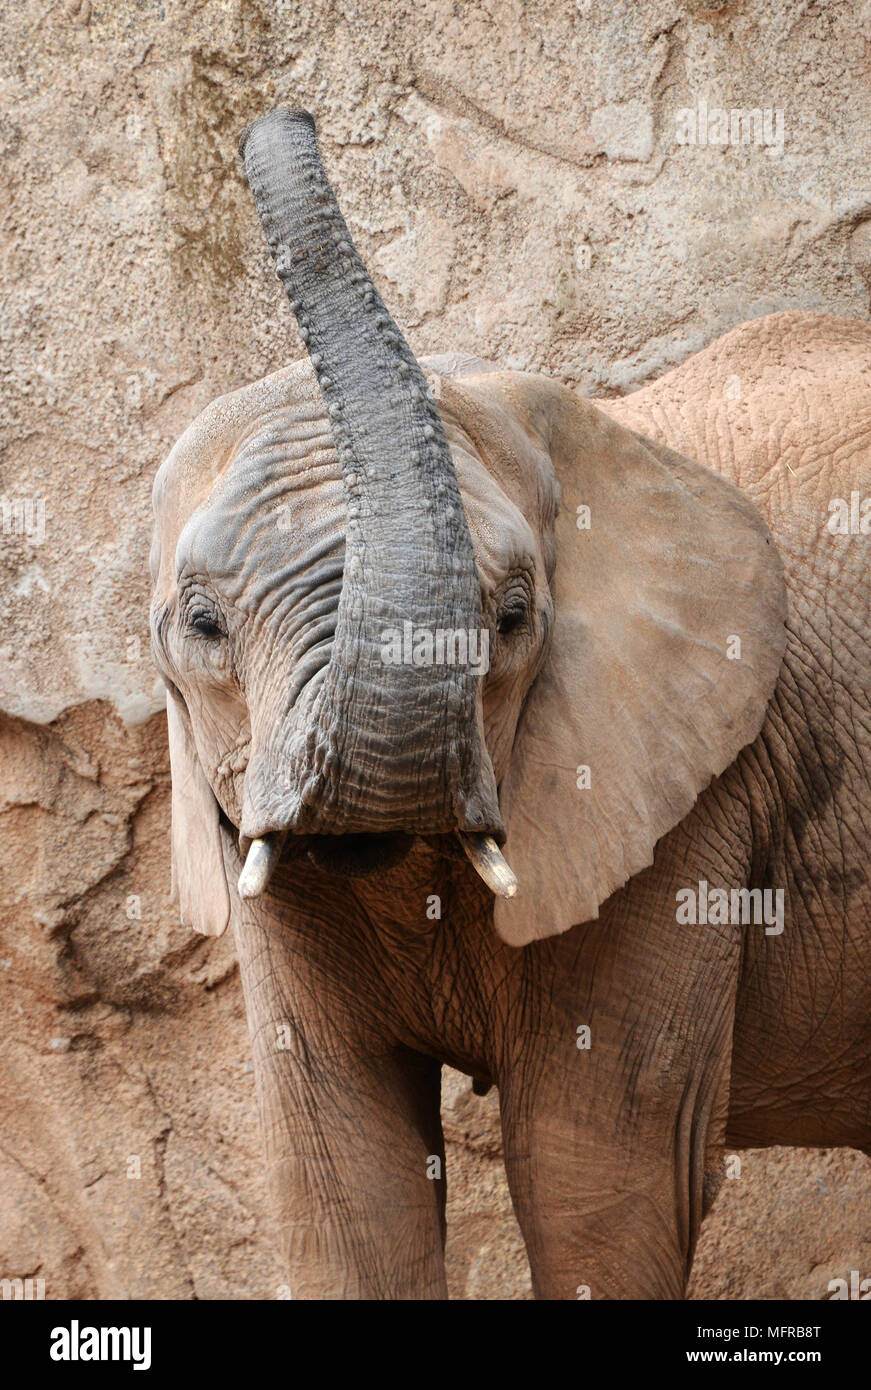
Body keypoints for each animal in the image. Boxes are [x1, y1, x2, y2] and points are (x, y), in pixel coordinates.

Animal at [150, 108, 871, 1299]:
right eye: (201, 625)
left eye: (516, 615)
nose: (283, 121)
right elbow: (344, 1188)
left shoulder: (685, 811)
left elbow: (595, 1179)